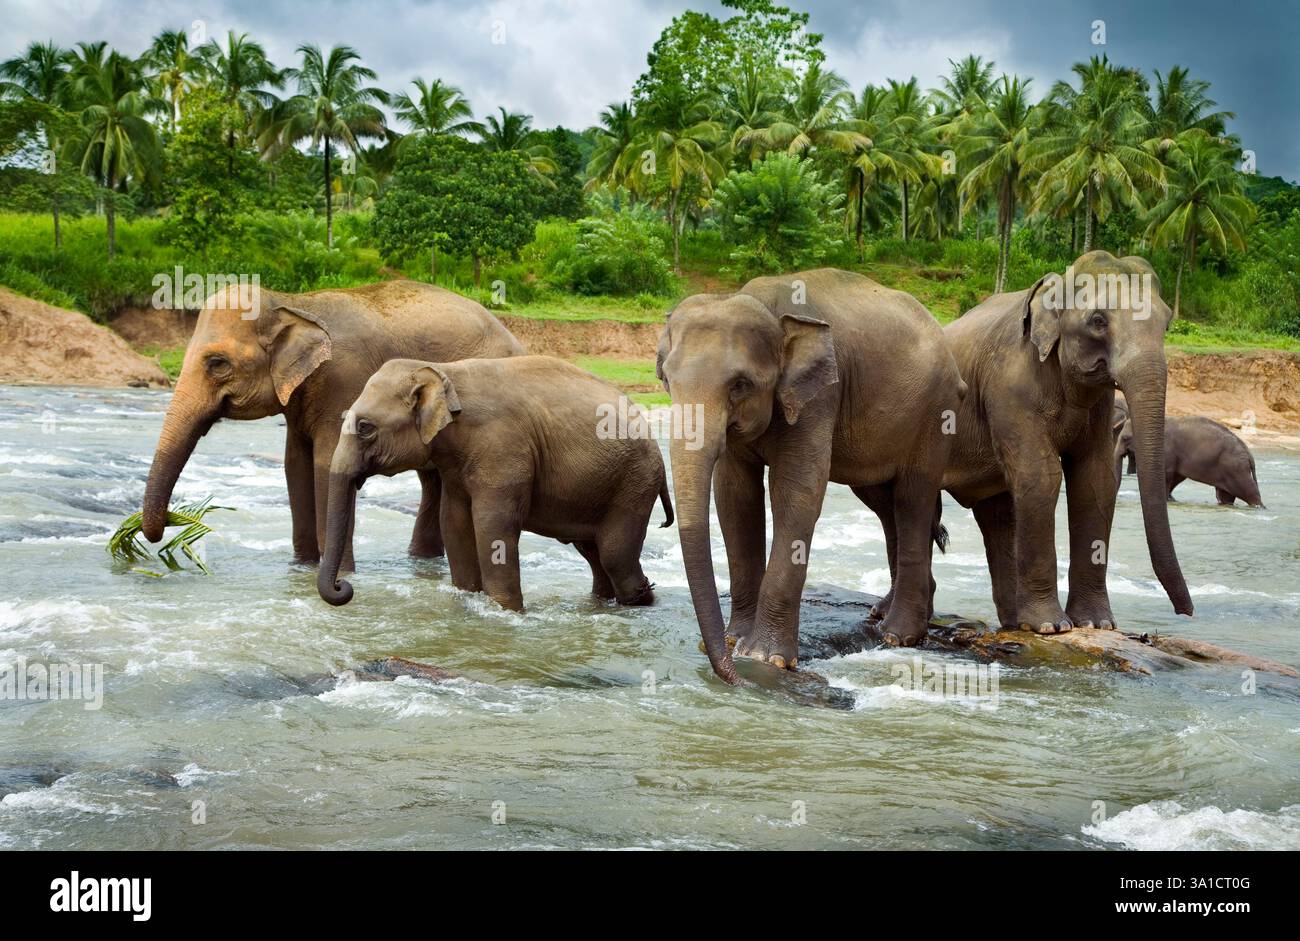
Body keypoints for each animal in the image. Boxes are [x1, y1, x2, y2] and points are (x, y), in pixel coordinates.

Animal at [140, 279, 525, 569]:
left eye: (217, 363)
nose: (169, 525)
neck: (292, 303)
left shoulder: (345, 383)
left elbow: (326, 465)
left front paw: (338, 572)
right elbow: (295, 465)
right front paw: (302, 566)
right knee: (432, 480)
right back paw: (420, 560)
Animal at [316, 355, 674, 611]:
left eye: (365, 427)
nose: (344, 587)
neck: (444, 373)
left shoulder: (502, 449)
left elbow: (493, 526)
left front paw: (507, 612)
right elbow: (455, 522)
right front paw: (467, 599)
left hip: (635, 482)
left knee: (615, 556)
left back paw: (642, 602)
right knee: (594, 553)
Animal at [656, 268, 965, 684]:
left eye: (740, 385)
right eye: (666, 379)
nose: (732, 678)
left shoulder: (820, 397)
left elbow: (797, 491)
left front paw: (765, 658)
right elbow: (735, 497)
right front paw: (736, 639)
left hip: (936, 413)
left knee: (913, 498)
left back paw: (899, 635)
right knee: (885, 504)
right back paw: (884, 614)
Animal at [936, 250, 1193, 635]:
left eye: (1166, 324)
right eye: (1098, 321)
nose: (1186, 612)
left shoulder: (1099, 406)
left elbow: (1096, 481)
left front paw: (1096, 624)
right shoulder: (1009, 387)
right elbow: (1040, 477)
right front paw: (1051, 627)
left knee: (997, 514)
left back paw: (1013, 623)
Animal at [1115, 414, 1264, 507]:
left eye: (1125, 438)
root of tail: (1249, 454)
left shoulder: (1166, 449)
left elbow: (1167, 473)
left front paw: (1168, 500)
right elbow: (1177, 476)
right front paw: (1171, 500)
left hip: (1236, 469)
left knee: (1250, 493)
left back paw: (1259, 507)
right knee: (1225, 496)